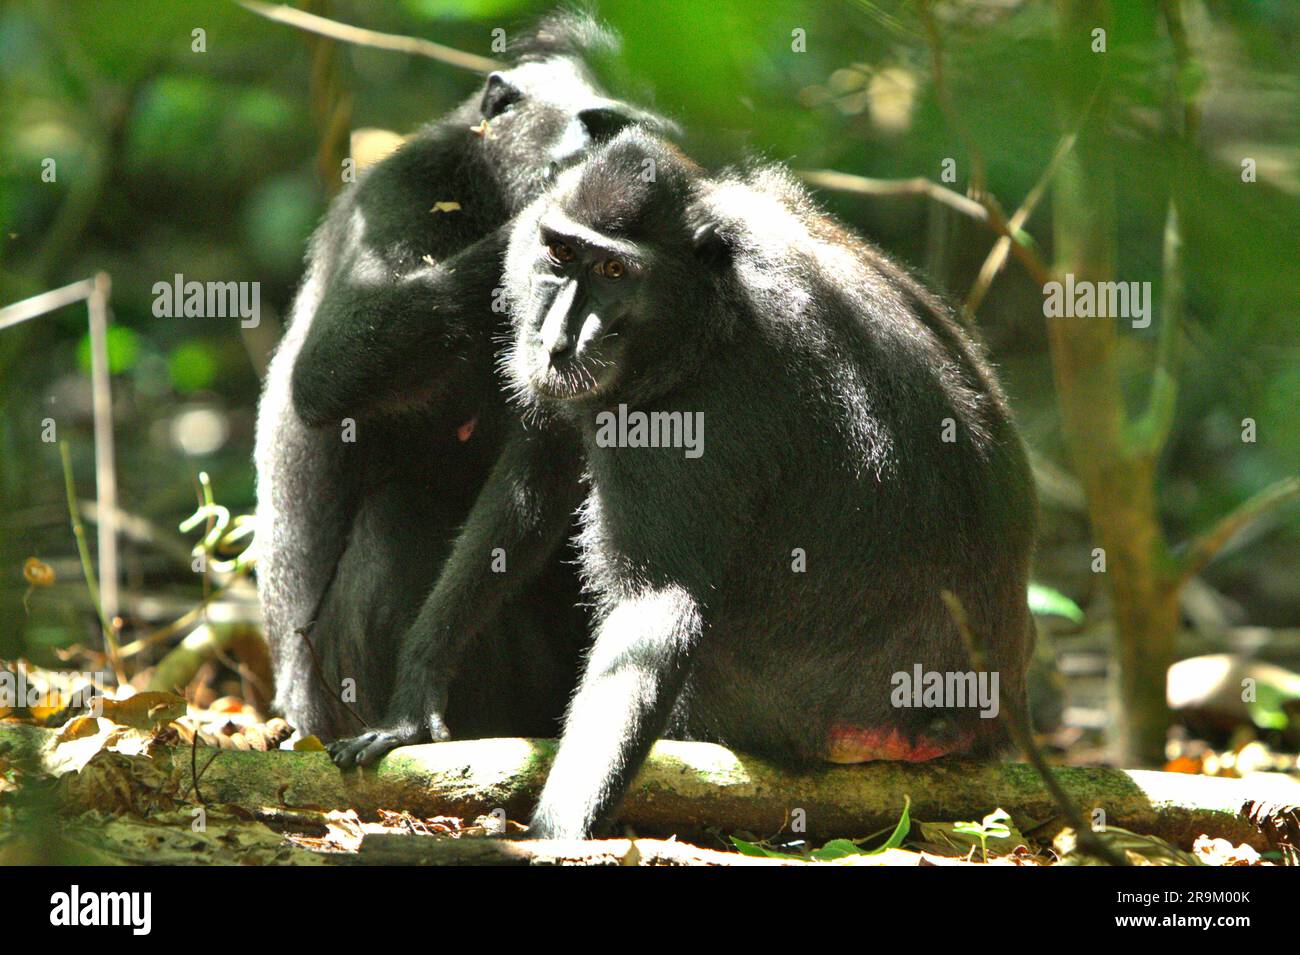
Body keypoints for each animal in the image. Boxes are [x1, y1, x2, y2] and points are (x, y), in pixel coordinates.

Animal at [328, 125, 1038, 841]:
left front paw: (551, 838)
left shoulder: (695, 415)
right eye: (560, 253)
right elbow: (534, 480)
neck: (708, 300)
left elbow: (656, 606)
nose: (557, 342)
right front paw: (414, 695)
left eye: (615, 272)